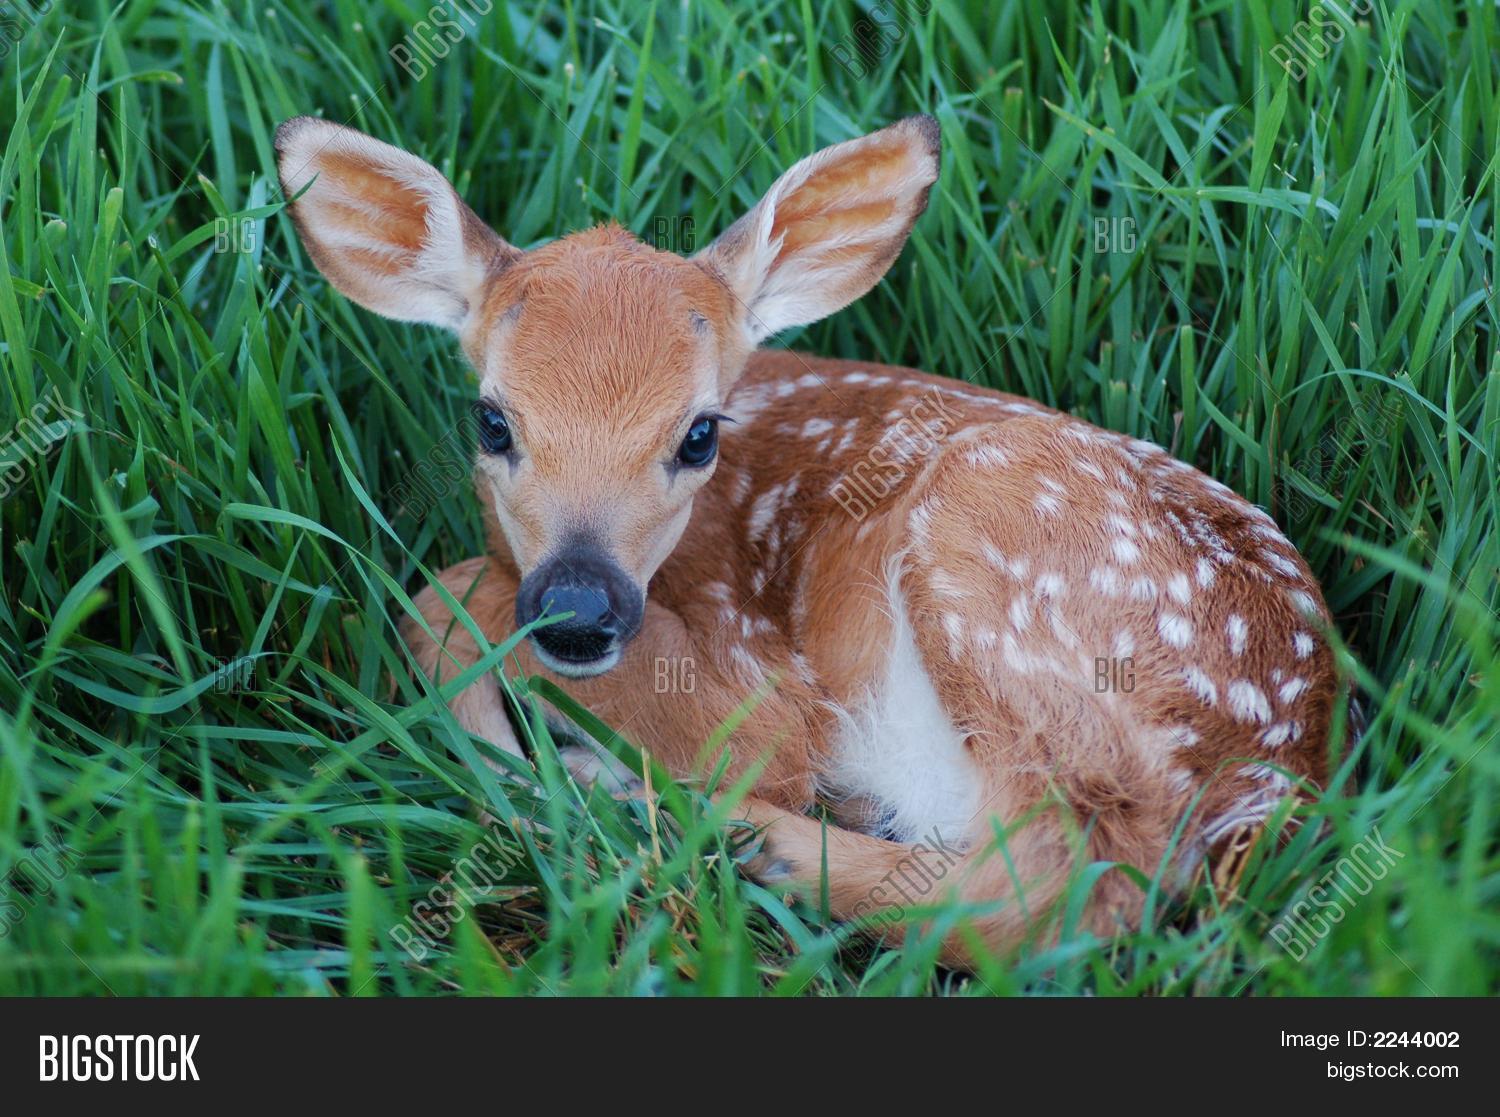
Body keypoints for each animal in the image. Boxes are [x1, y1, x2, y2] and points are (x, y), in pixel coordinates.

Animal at [275, 112, 1342, 967]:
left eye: (699, 433)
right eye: (492, 420)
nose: (577, 610)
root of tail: (1285, 771)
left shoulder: (761, 682)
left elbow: (448, 591)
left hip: (997, 547)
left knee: (1071, 884)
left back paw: (717, 829)